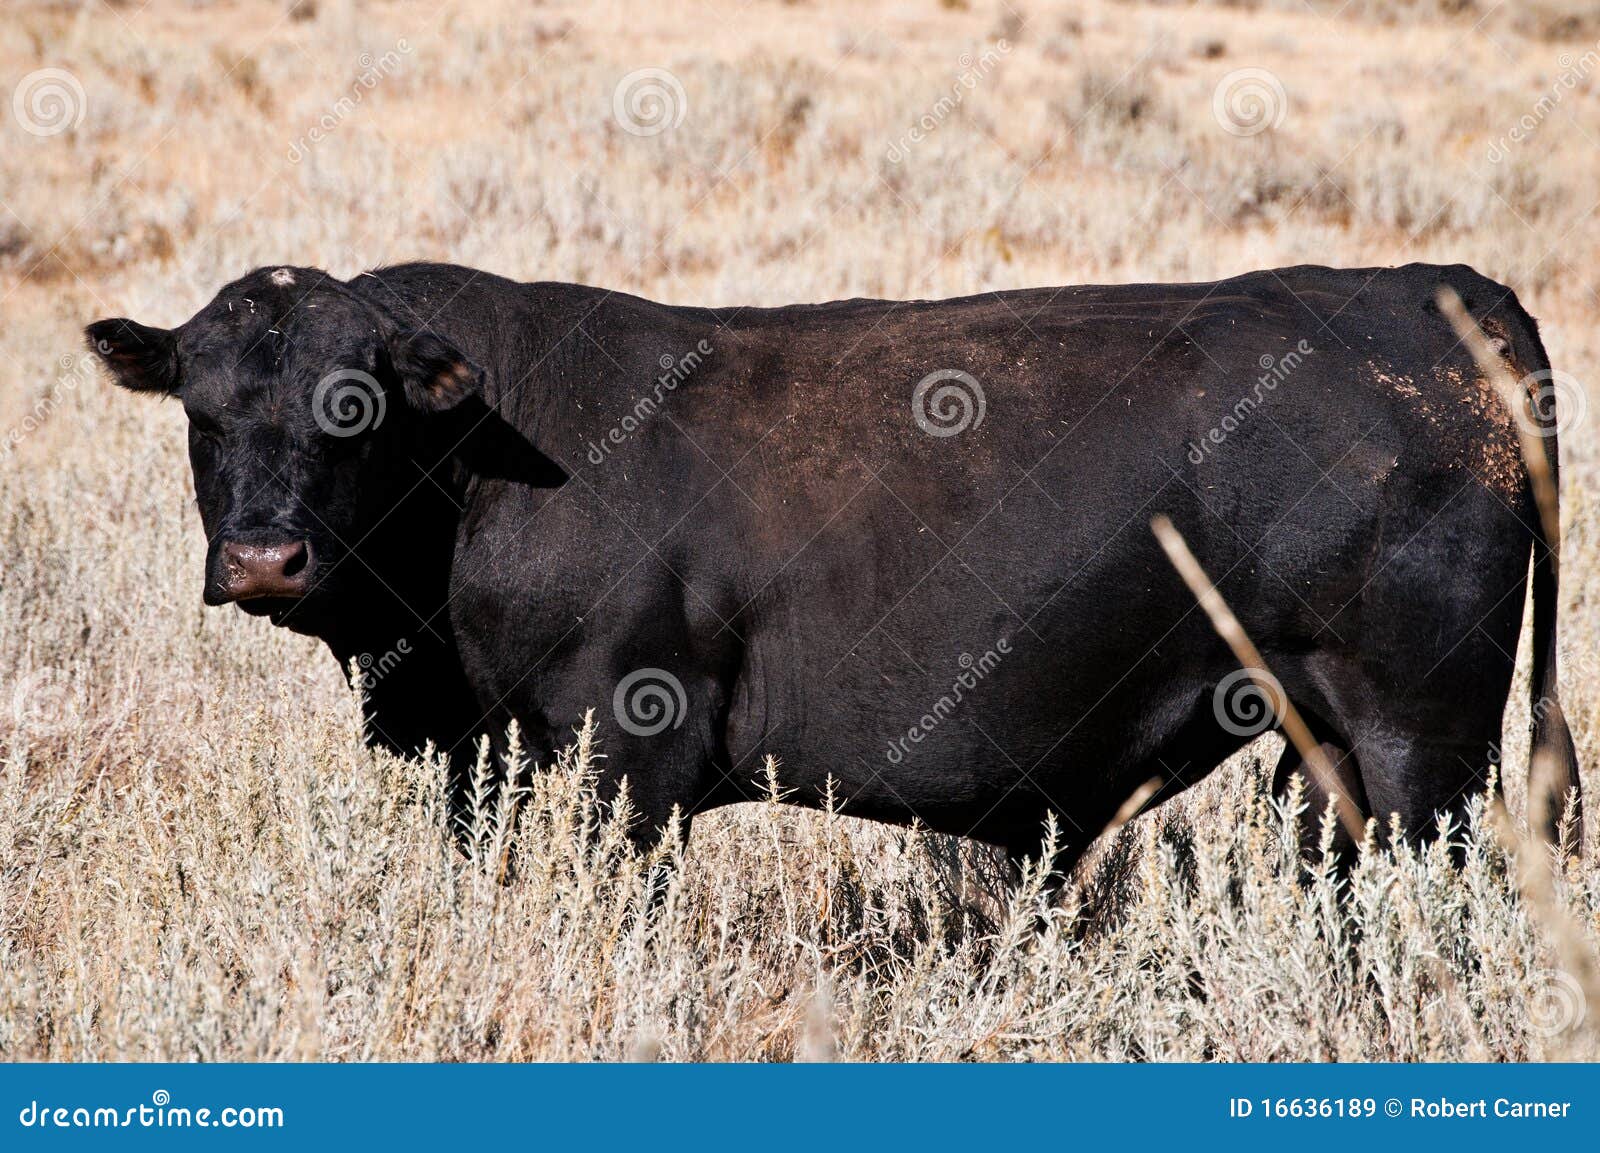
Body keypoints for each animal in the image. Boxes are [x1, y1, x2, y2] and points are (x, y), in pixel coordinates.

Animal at [88, 261, 1582, 869]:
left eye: (356, 409)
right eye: (202, 413)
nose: (264, 556)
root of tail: (1429, 287)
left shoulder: (630, 743)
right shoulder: (481, 752)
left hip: (1422, 733)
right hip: (1320, 741)